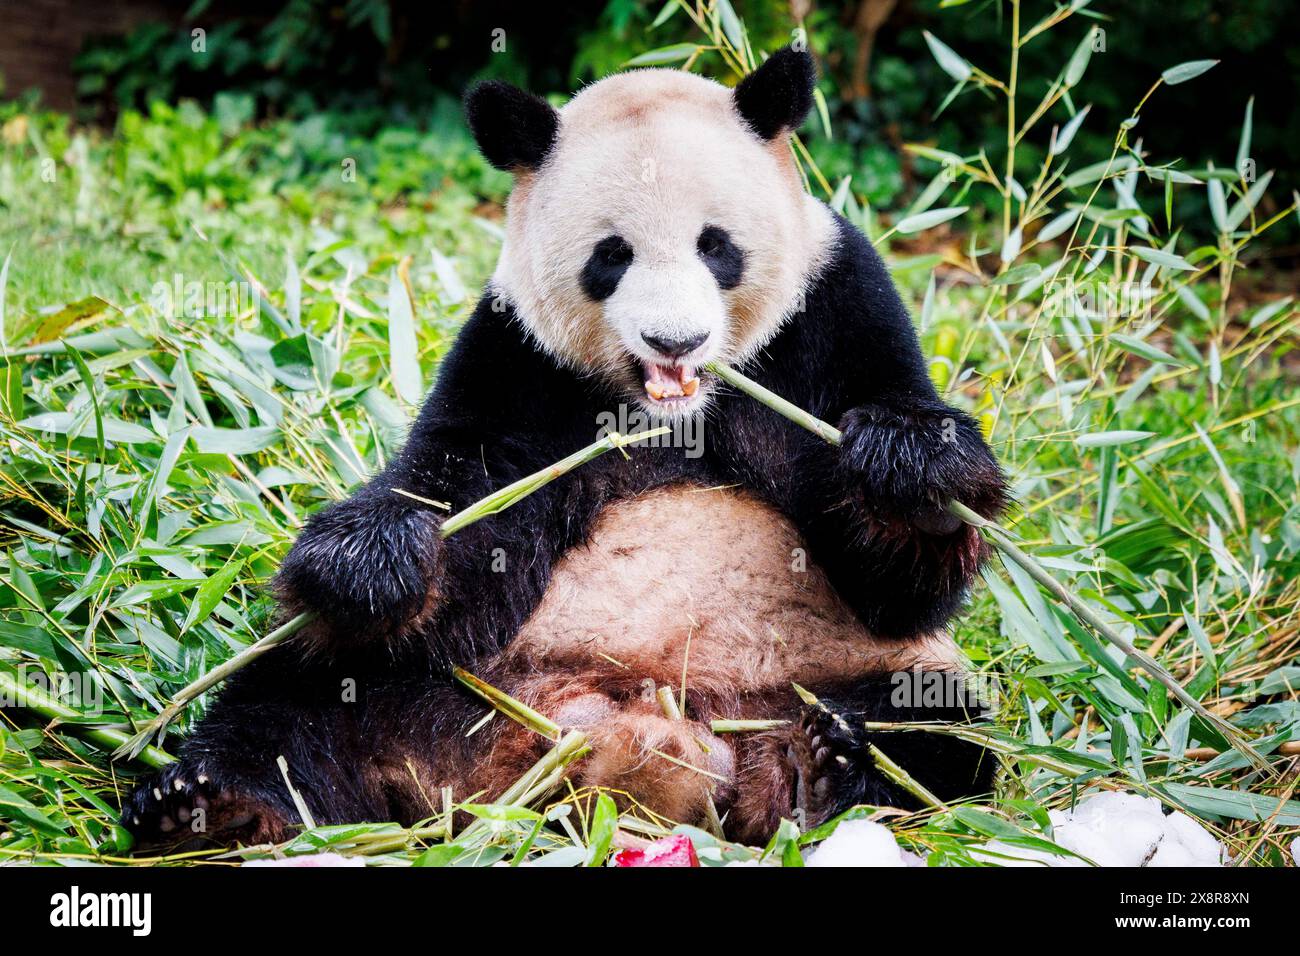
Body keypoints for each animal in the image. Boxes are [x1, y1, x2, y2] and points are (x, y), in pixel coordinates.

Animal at [123, 48, 1007, 849]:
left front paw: (911, 467)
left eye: (715, 245)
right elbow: (466, 508)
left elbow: (897, 585)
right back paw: (208, 804)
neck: (676, 410)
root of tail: (633, 742)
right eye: (611, 255)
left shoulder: (834, 307)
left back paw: (827, 770)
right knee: (297, 700)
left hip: (841, 673)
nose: (675, 342)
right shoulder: (519, 356)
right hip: (458, 683)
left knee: (940, 733)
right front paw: (370, 557)